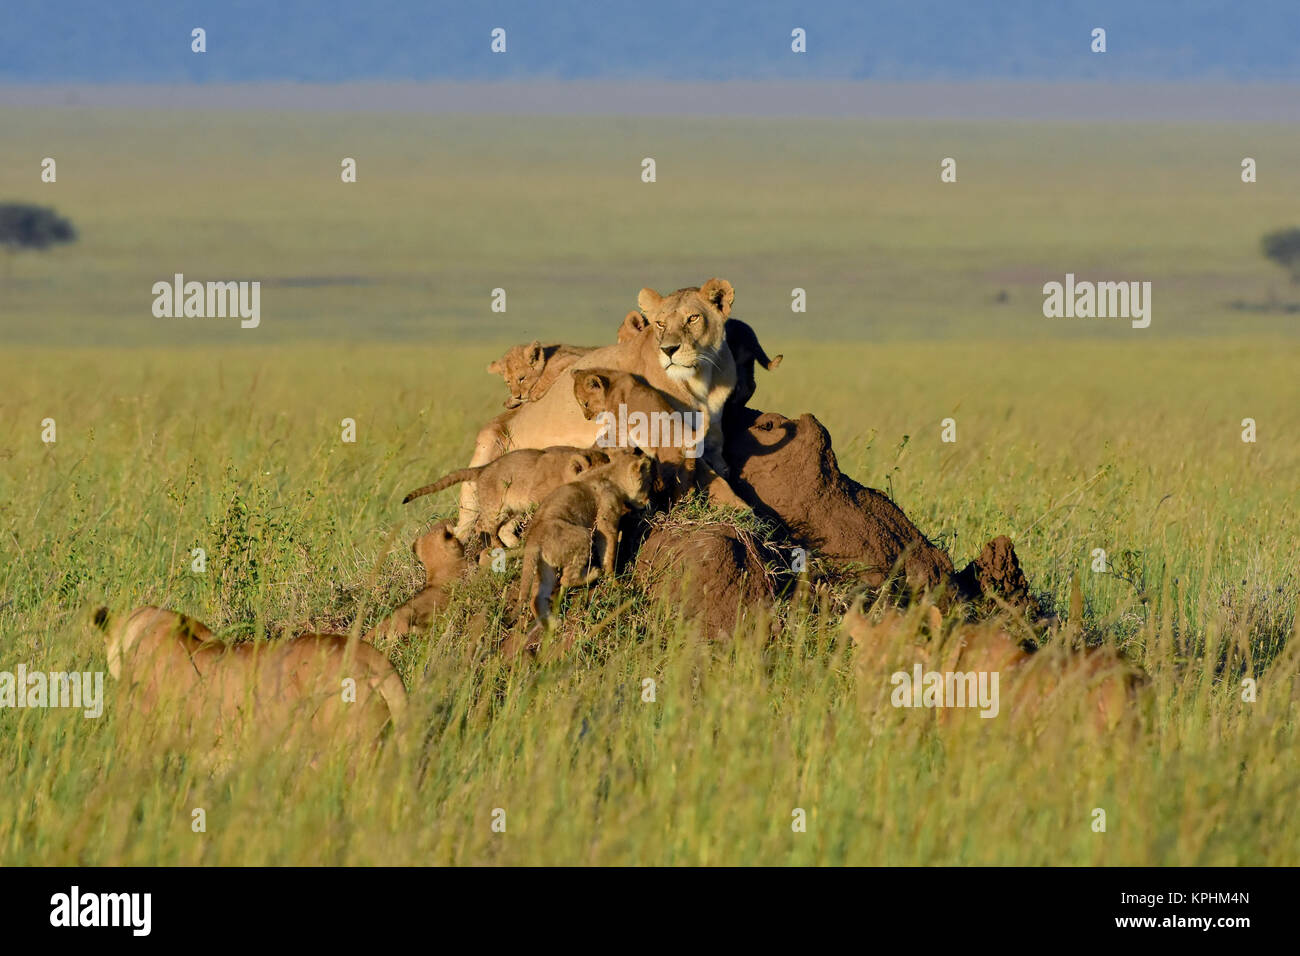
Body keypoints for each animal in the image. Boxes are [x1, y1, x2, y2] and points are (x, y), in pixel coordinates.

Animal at [404, 446, 611, 550]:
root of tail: (483, 469)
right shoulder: (537, 496)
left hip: (515, 510)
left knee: (503, 529)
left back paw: (516, 546)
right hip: (495, 506)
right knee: (485, 527)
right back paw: (500, 548)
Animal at [456, 279, 739, 541]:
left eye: (693, 318)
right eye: (660, 324)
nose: (669, 349)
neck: (703, 379)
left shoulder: (709, 441)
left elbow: (720, 471)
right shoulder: (669, 433)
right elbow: (713, 480)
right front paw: (741, 509)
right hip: (486, 454)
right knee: (469, 522)